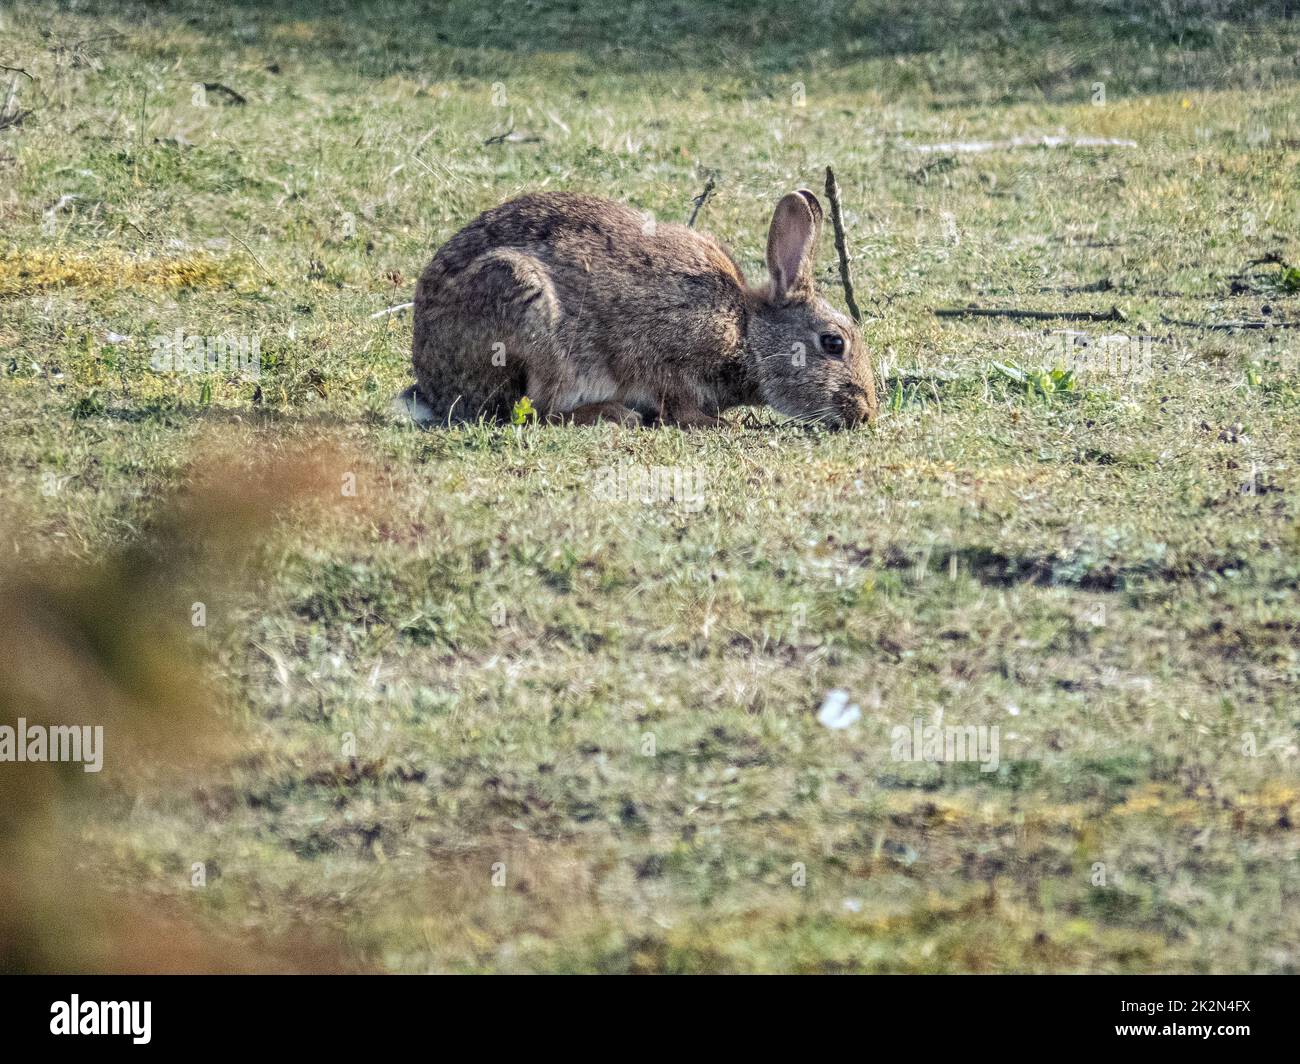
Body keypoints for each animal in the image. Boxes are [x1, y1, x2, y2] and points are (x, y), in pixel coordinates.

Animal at [401, 188, 877, 429]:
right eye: (833, 344)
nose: (867, 413)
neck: (746, 331)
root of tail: (433, 385)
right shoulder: (665, 357)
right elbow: (677, 402)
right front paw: (717, 424)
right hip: (527, 310)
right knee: (536, 408)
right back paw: (612, 414)